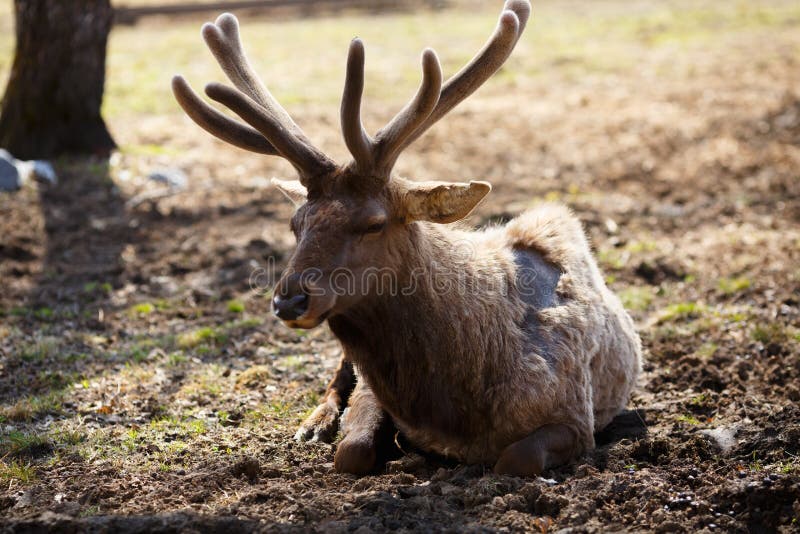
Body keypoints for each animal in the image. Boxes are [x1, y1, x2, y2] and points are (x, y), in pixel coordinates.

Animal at [172, 0, 642, 477]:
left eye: (375, 222)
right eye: (295, 223)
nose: (290, 300)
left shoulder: (573, 413)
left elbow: (516, 458)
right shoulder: (373, 393)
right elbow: (352, 451)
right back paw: (314, 424)